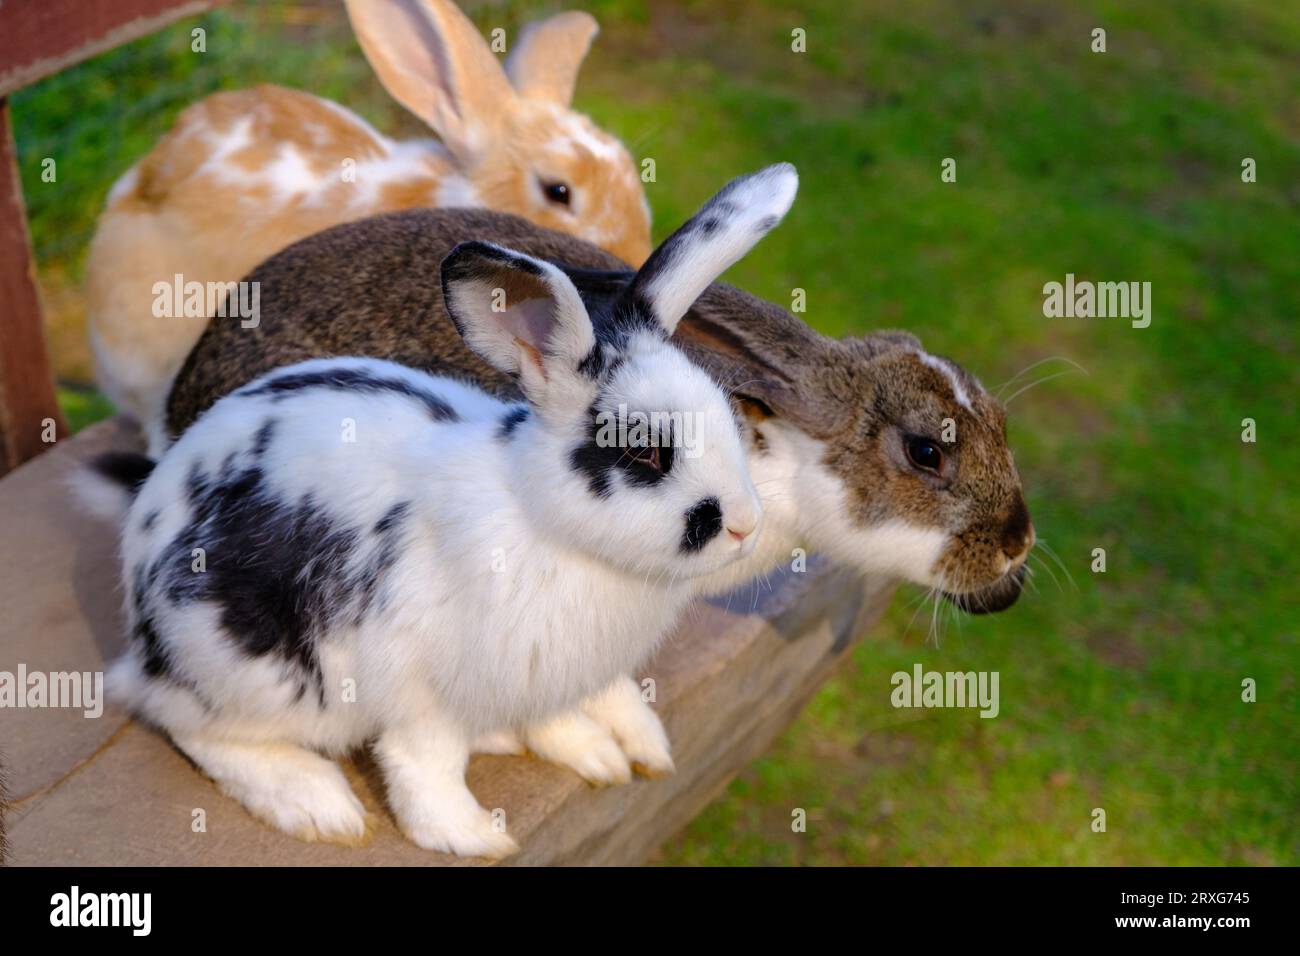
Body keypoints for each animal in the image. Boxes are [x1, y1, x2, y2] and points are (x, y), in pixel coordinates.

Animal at [82, 165, 800, 858]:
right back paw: (316, 803)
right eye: (646, 451)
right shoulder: (423, 692)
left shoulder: (541, 681)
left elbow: (557, 722)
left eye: (728, 417)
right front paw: (471, 835)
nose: (745, 524)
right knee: (188, 723)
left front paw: (599, 759)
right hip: (241, 663)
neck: (542, 520)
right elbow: (427, 768)